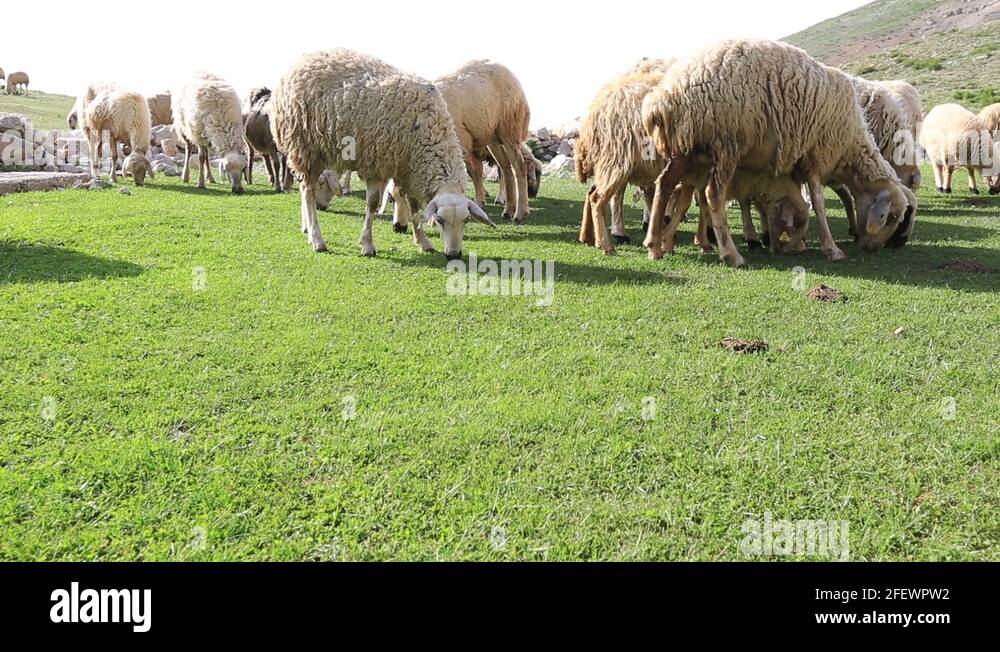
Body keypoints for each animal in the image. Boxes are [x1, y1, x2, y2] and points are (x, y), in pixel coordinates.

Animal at [270, 49, 495, 258]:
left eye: (466, 220)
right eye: (439, 220)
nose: (454, 254)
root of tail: (301, 61)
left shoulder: (407, 168)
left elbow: (413, 205)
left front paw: (423, 241)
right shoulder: (377, 164)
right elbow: (372, 204)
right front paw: (367, 245)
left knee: (305, 188)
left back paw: (307, 230)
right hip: (305, 147)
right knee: (307, 190)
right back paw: (317, 239)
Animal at [436, 60, 532, 223]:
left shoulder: (461, 140)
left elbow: (473, 171)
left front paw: (478, 202)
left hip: (509, 127)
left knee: (519, 166)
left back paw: (519, 213)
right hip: (493, 137)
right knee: (505, 167)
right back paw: (509, 209)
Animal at [642, 39, 916, 267]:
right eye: (891, 217)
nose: (874, 248)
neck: (851, 146)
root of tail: (664, 96)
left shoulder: (794, 164)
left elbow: (799, 205)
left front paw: (793, 242)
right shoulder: (815, 157)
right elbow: (818, 203)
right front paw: (831, 249)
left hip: (688, 147)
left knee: (664, 184)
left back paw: (655, 245)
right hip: (725, 143)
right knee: (713, 195)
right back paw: (730, 254)